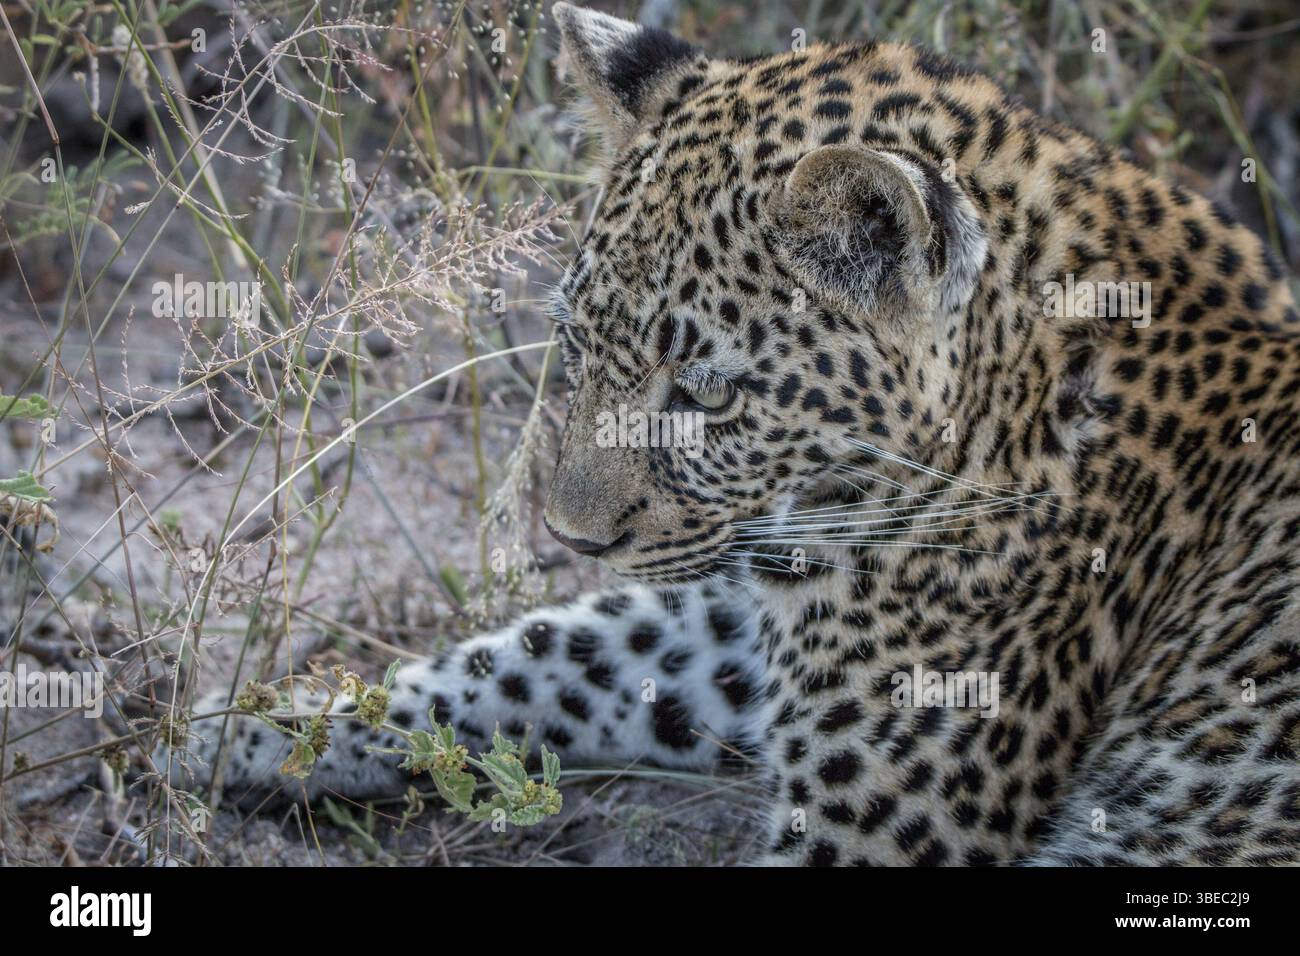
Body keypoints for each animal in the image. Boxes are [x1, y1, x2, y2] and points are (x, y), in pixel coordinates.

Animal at [163, 2, 1300, 866]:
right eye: (575, 346)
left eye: (706, 395)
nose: (568, 538)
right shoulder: (746, 602)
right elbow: (548, 651)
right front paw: (245, 727)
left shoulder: (868, 828)